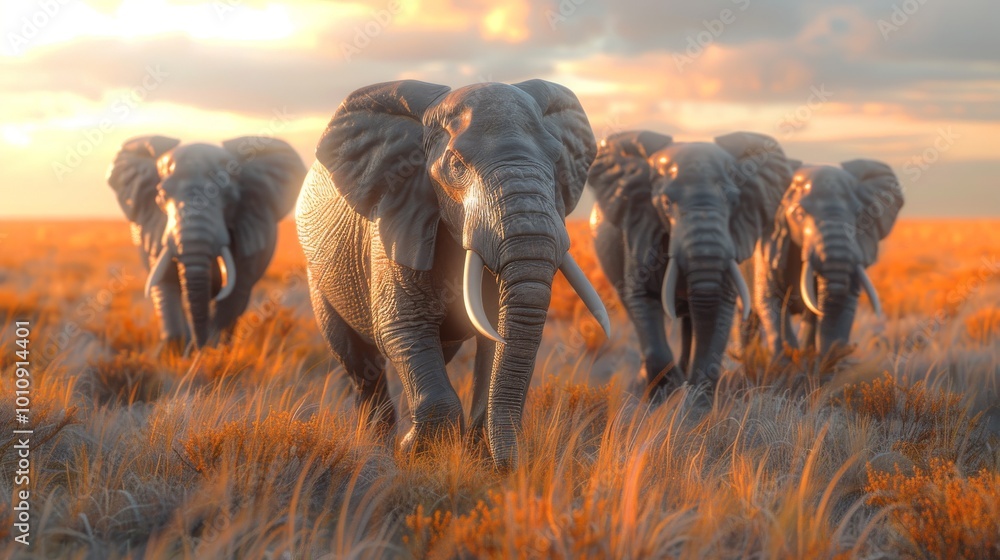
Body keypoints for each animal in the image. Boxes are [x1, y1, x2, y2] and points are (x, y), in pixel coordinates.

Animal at [107, 135, 306, 351]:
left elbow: (235, 290)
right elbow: (165, 282)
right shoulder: (155, 227)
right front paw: (179, 351)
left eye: (231, 197)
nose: (198, 348)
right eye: (161, 196)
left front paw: (211, 351)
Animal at [296, 79, 610, 472]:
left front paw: (476, 458)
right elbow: (402, 326)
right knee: (357, 361)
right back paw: (376, 444)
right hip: (317, 273)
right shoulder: (396, 218)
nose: (511, 470)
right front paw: (414, 453)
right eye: (457, 165)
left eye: (556, 160)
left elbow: (492, 333)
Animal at [588, 130, 792, 400]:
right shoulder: (640, 229)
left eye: (733, 201)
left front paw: (695, 403)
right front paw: (665, 395)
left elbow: (719, 304)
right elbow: (643, 297)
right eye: (665, 203)